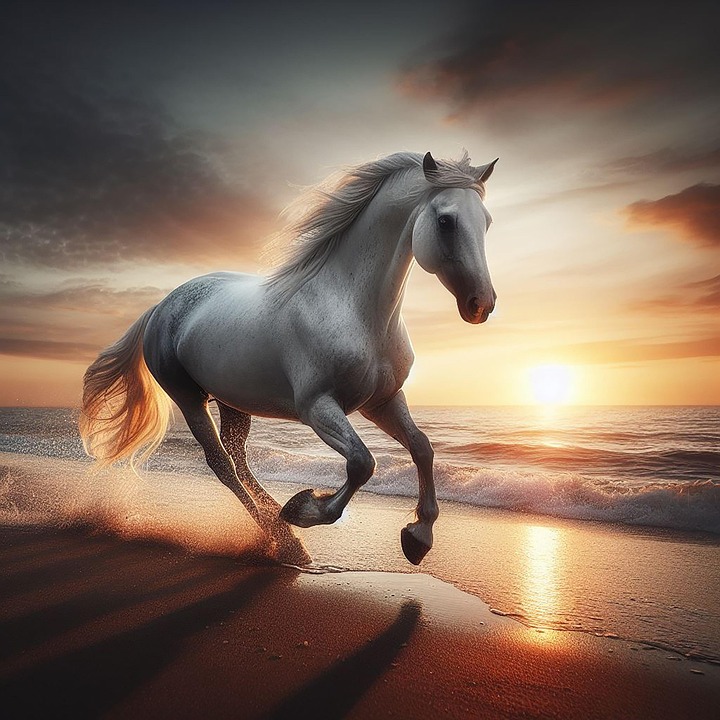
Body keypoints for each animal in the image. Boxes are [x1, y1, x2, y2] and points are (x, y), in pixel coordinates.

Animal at [79, 150, 498, 566]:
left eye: (487, 222)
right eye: (446, 221)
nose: (482, 303)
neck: (352, 308)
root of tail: (159, 307)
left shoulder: (383, 401)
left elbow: (422, 448)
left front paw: (418, 536)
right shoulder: (317, 407)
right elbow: (362, 463)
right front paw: (304, 508)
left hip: (234, 402)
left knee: (239, 457)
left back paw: (279, 522)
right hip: (189, 399)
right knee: (222, 464)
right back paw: (285, 539)